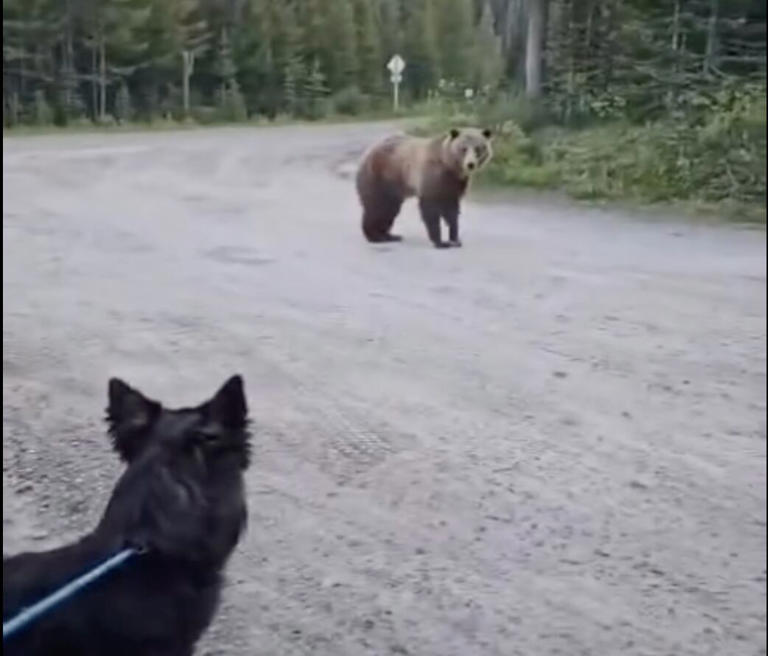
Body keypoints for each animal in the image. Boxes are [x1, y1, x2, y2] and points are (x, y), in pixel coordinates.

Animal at [355, 127, 493, 248]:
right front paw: (440, 242)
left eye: (478, 148)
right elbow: (430, 210)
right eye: (463, 149)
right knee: (377, 207)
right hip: (380, 179)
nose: (470, 164)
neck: (449, 166)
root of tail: (368, 150)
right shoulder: (432, 178)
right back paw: (375, 236)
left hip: (392, 188)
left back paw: (390, 236)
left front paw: (455, 239)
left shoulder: (454, 184)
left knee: (390, 210)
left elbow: (452, 212)